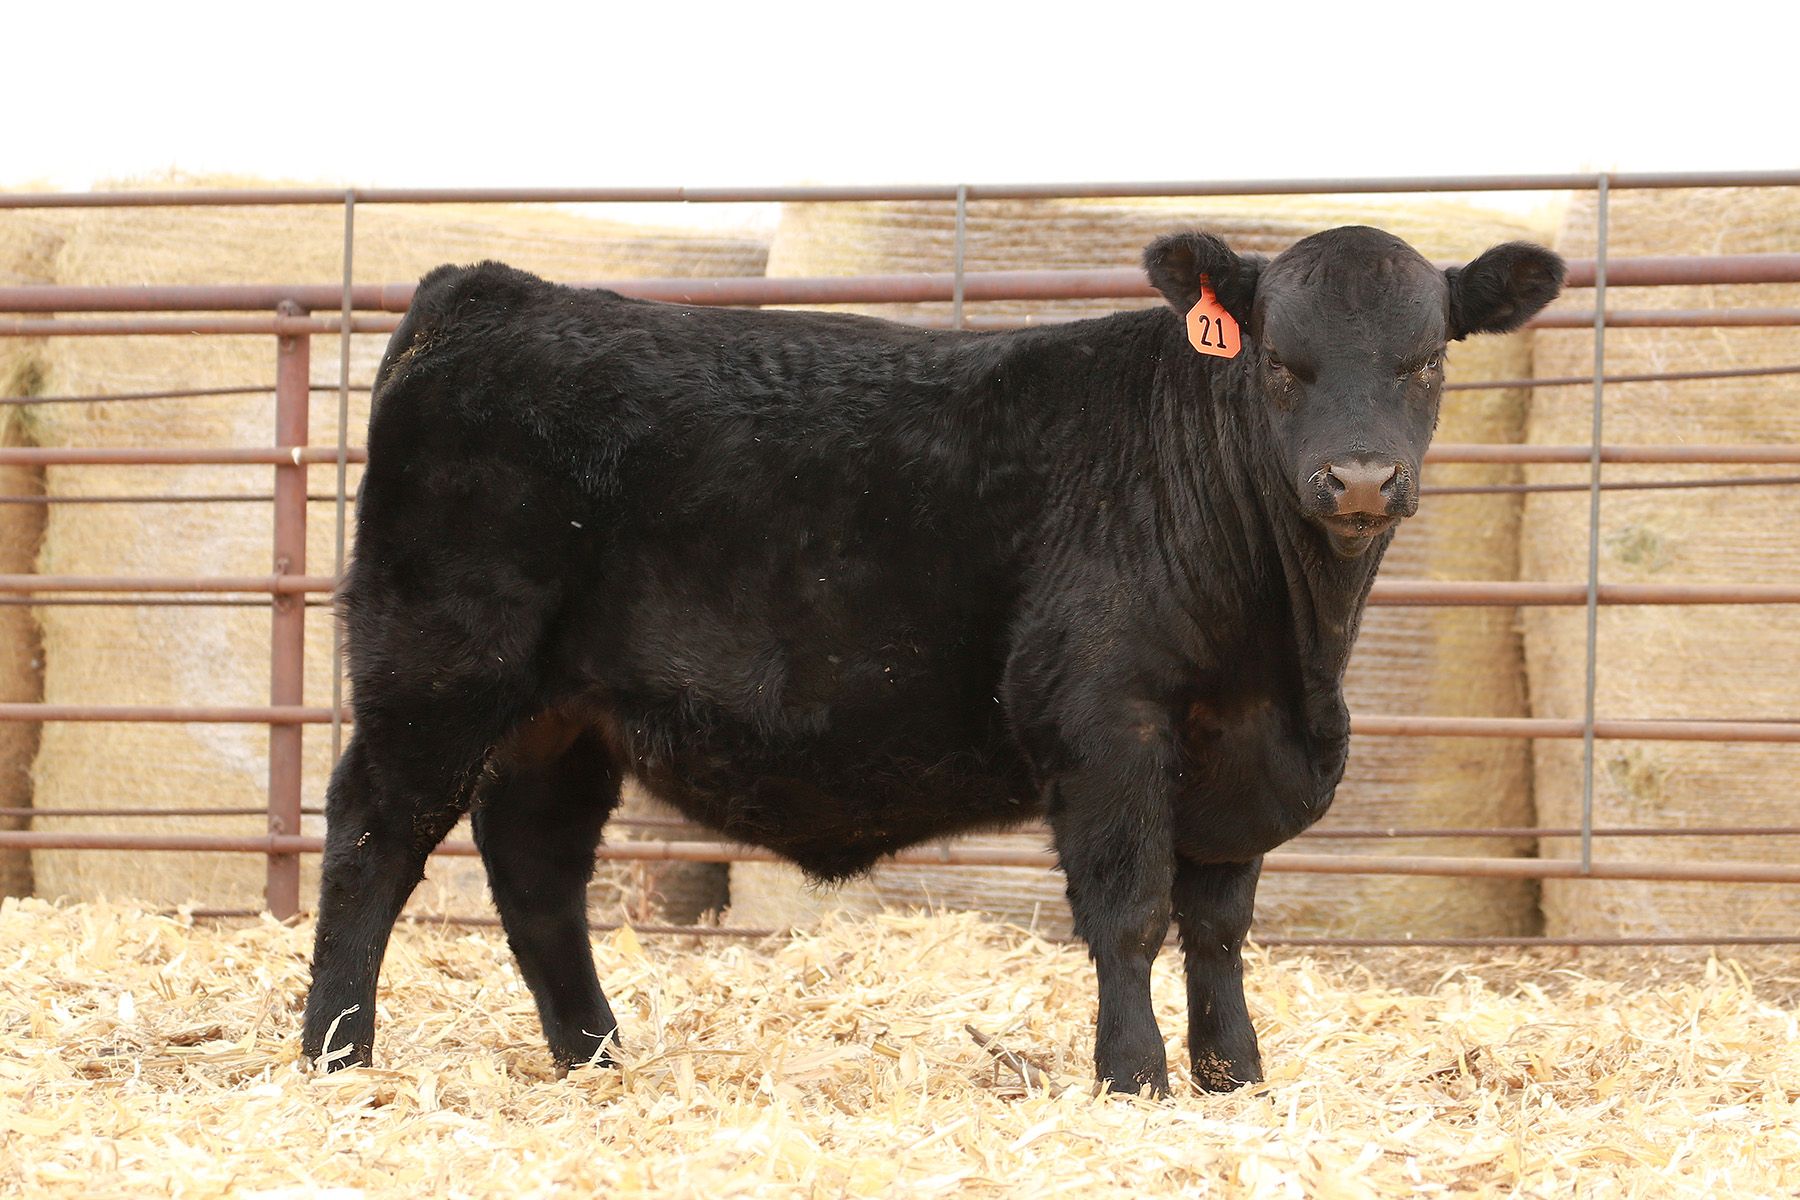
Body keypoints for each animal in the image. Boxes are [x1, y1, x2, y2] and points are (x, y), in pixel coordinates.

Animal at [299, 225, 1563, 1096]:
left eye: (1425, 361)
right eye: (1283, 366)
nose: (1358, 480)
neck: (1290, 653)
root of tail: (489, 293)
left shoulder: (1236, 749)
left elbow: (1217, 923)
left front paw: (1234, 1078)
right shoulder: (1107, 716)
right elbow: (1131, 910)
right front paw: (1136, 1078)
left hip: (561, 718)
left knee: (538, 873)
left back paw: (598, 1058)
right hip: (438, 669)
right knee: (370, 843)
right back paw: (335, 1055)